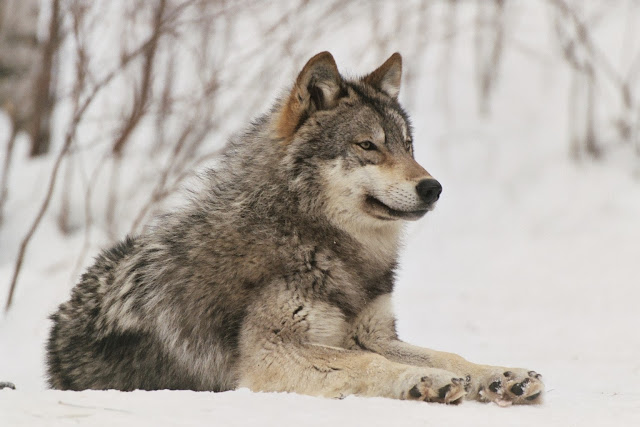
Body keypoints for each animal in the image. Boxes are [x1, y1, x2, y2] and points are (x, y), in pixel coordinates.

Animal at [47, 52, 544, 405]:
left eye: (407, 146)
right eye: (367, 146)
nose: (433, 187)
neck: (314, 238)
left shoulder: (376, 334)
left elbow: (448, 353)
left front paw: (502, 375)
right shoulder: (272, 353)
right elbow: (366, 363)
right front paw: (426, 379)